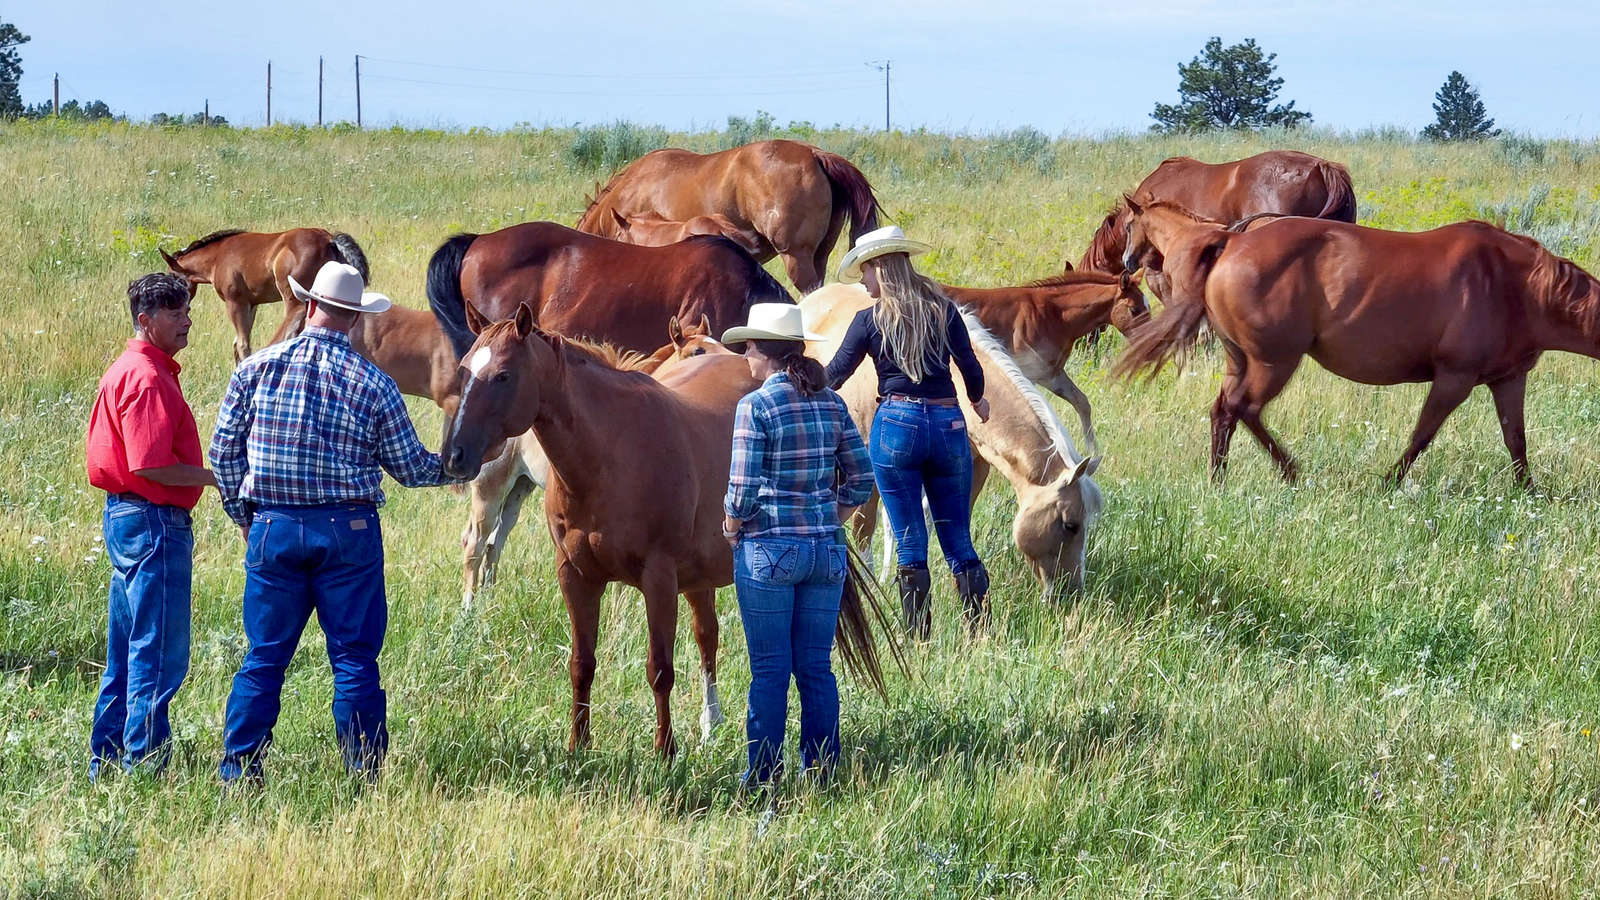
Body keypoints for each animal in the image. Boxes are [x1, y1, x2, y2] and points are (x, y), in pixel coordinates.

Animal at [159, 228, 369, 363]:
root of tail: (329, 240)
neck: (218, 257)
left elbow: (242, 344)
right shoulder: (252, 304)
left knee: (292, 322)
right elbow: (238, 343)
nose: (179, 303)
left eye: (173, 276)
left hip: (292, 294)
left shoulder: (235, 302)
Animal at [441, 303, 891, 755]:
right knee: (707, 636)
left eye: (503, 375)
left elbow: (659, 668)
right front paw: (578, 746)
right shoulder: (576, 576)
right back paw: (711, 722)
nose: (455, 455)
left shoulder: (659, 580)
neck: (608, 454)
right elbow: (581, 662)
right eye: (464, 370)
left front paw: (665, 751)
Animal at [803, 284, 1103, 597]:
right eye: (1070, 525)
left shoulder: (972, 468)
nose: (1072, 590)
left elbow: (950, 524)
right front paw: (873, 585)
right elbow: (865, 525)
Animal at [942, 270, 1150, 456]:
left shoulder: (1051, 374)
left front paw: (1093, 451)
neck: (1056, 316)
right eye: (1134, 310)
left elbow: (1082, 402)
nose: (1149, 342)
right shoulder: (1029, 373)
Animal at [1113, 197, 1600, 487]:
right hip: (1274, 363)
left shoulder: (1508, 379)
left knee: (1223, 412)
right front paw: (1389, 483)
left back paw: (1218, 478)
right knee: (1244, 409)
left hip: (1241, 360)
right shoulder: (1454, 378)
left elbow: (1516, 439)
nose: (1128, 259)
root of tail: (1231, 242)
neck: (1513, 284)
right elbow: (1422, 435)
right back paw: (1291, 472)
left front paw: (1528, 493)